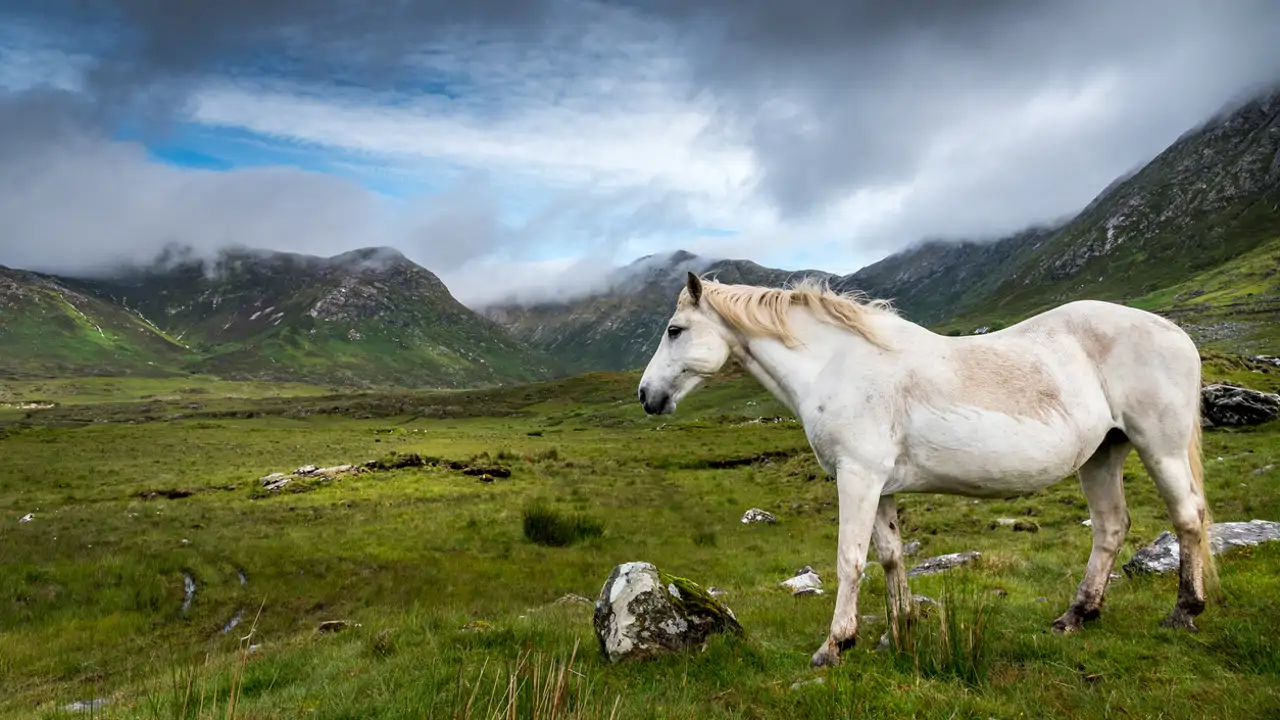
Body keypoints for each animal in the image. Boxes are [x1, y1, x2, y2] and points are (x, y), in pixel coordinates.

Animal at [637, 272, 1217, 668]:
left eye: (675, 330)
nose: (646, 396)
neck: (837, 365)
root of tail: (1174, 332)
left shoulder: (857, 478)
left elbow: (850, 561)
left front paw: (834, 645)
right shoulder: (881, 486)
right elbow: (891, 556)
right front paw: (897, 633)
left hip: (1158, 447)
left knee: (1187, 518)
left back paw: (1184, 611)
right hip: (1102, 455)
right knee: (1111, 527)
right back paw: (1077, 615)